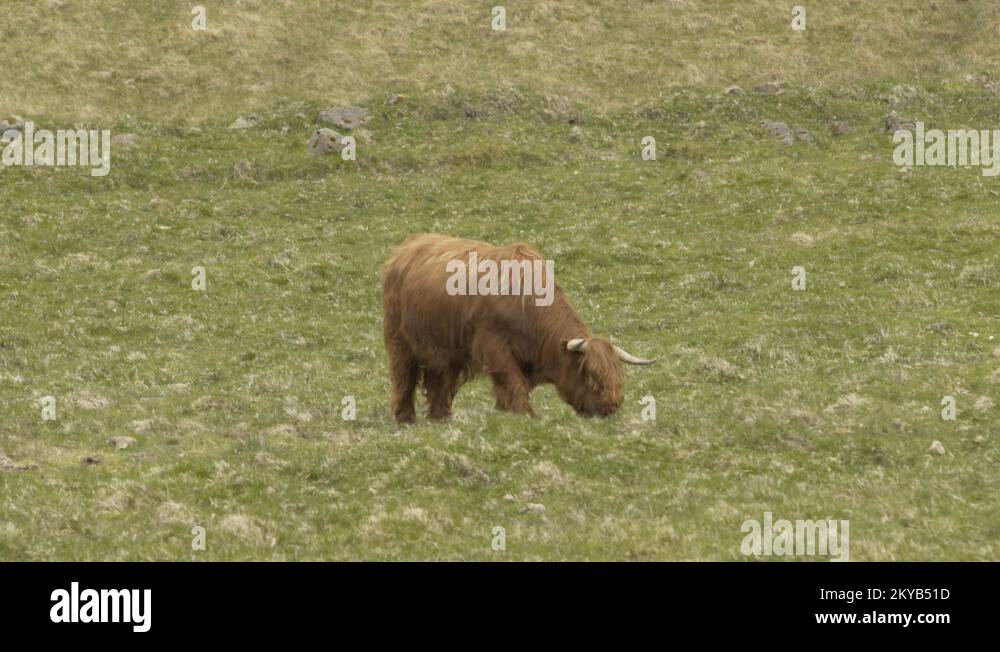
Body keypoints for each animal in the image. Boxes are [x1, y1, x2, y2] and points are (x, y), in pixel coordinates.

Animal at [382, 234, 653, 422]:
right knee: (404, 375)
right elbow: (512, 381)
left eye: (618, 376)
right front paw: (525, 414)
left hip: (444, 347)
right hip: (401, 340)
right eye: (591, 375)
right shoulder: (493, 345)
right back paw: (405, 417)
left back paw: (441, 417)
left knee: (440, 380)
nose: (611, 407)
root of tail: (406, 247)